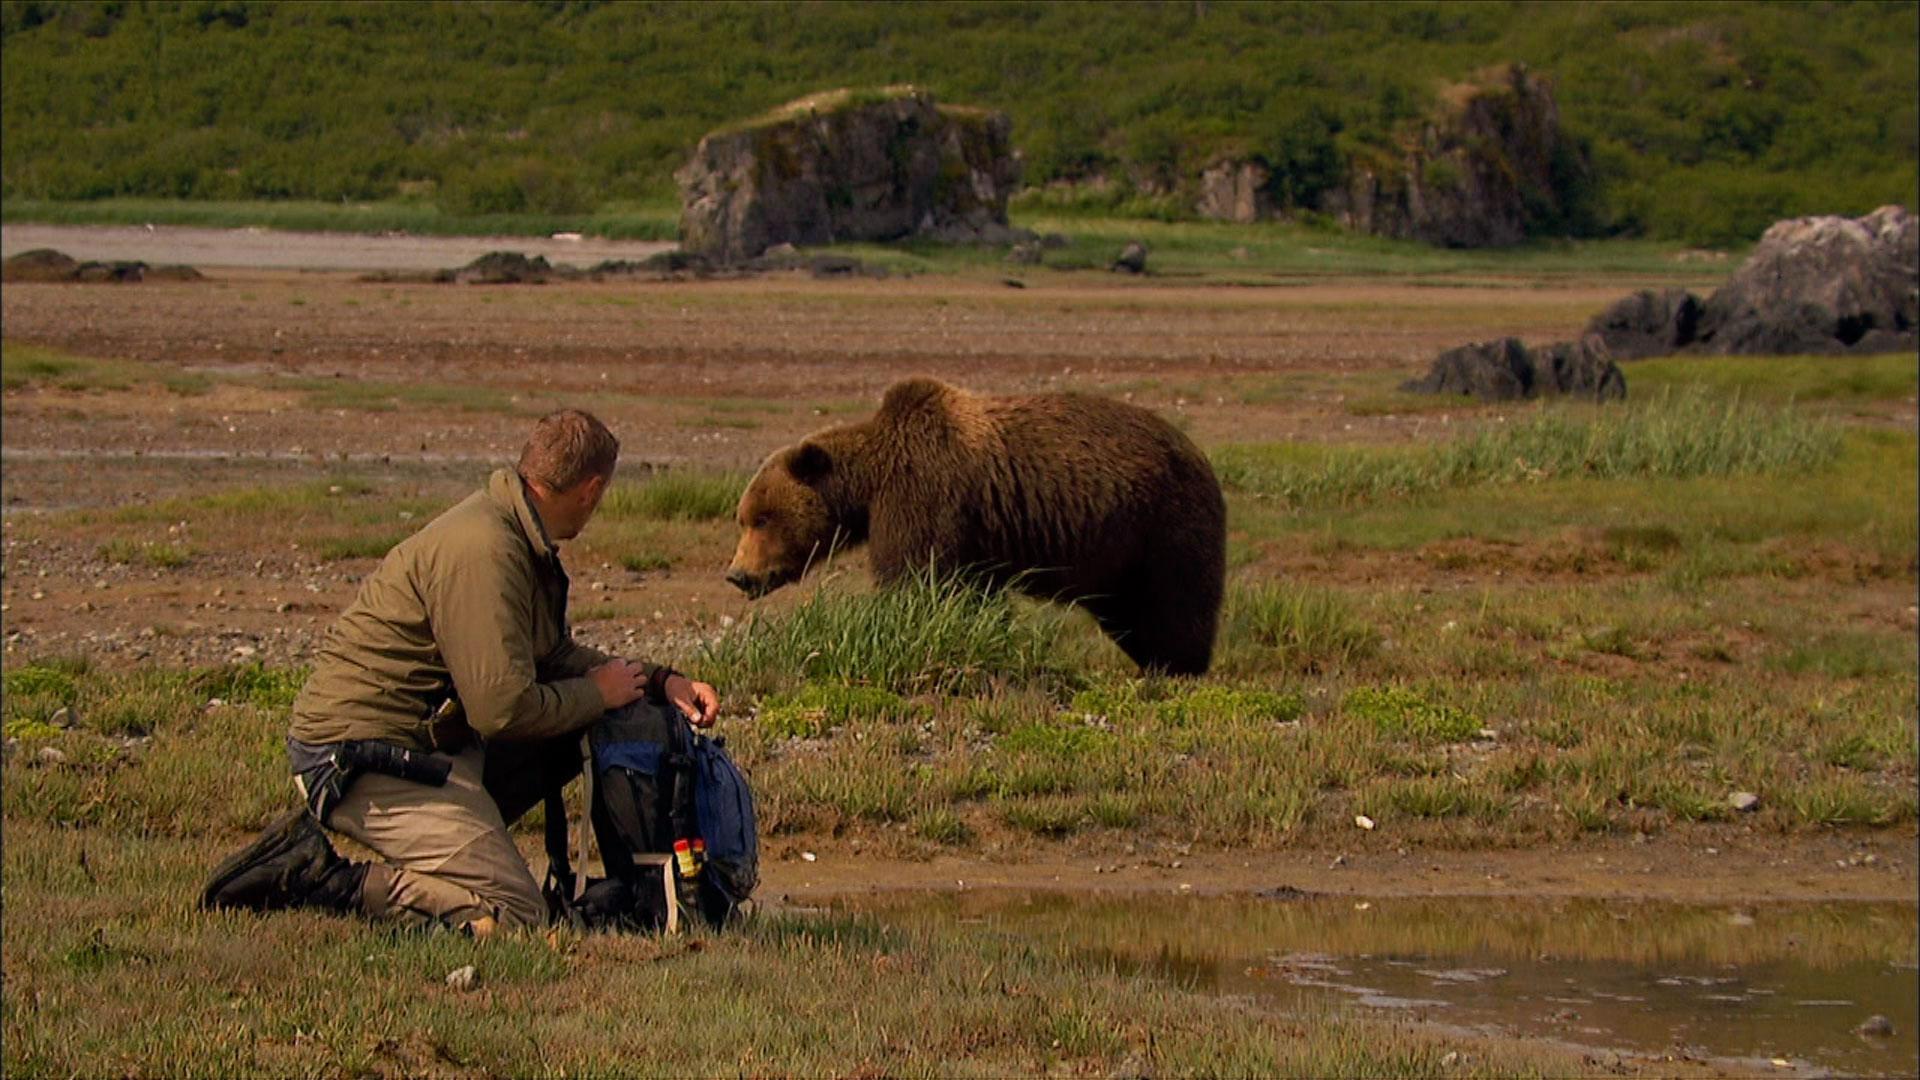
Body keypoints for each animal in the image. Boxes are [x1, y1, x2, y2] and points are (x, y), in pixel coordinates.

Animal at [725, 376, 1226, 675]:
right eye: (744, 518)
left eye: (762, 519)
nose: (738, 574)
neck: (870, 484)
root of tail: (1200, 455)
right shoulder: (977, 538)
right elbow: (972, 594)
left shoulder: (924, 495)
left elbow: (916, 580)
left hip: (1161, 524)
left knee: (1174, 608)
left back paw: (1174, 667)